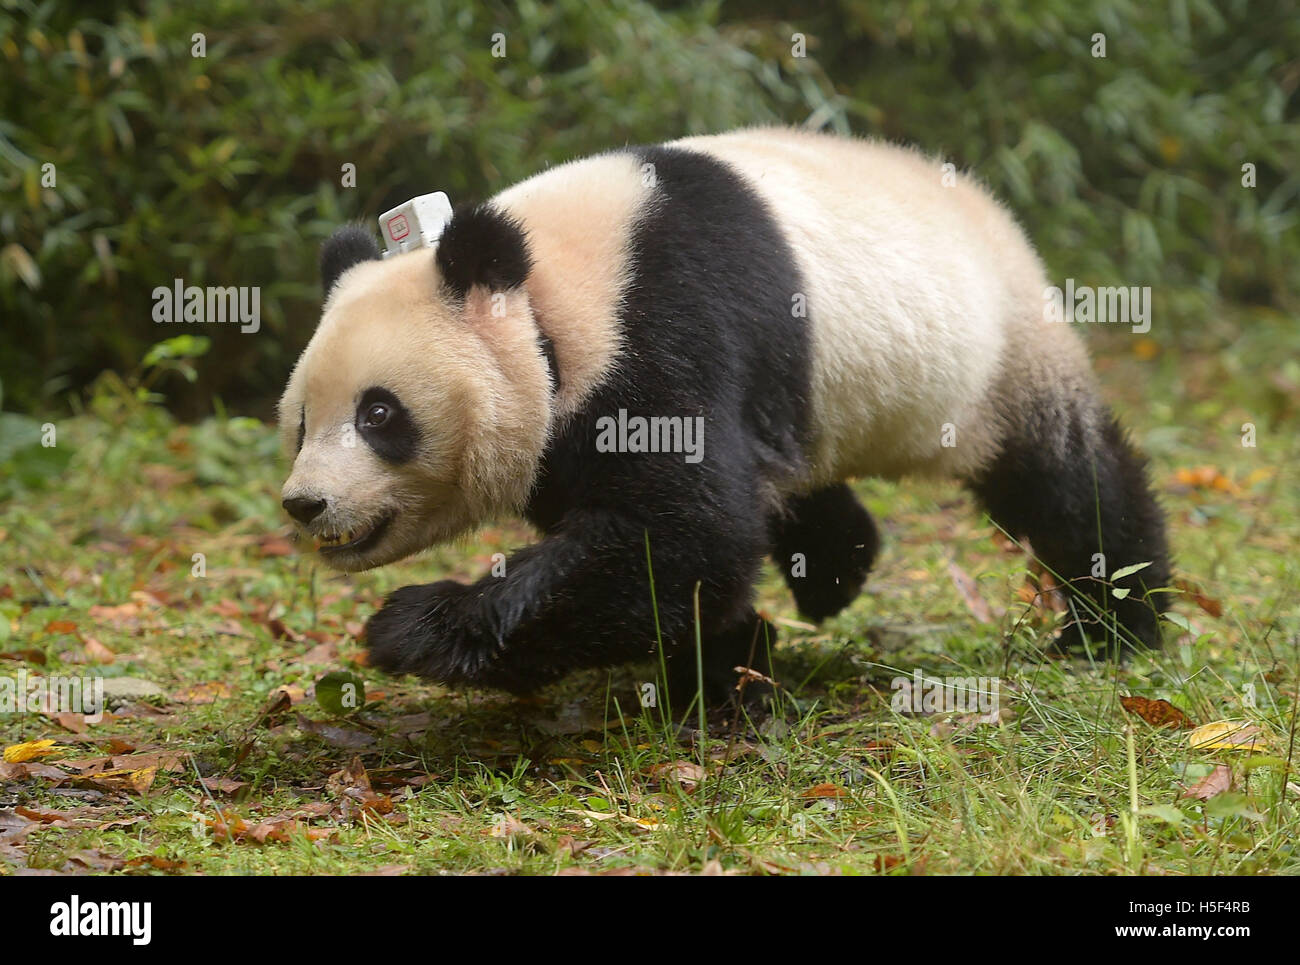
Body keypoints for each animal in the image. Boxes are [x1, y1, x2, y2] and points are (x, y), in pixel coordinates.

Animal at [278, 127, 1170, 705]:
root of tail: (990, 206)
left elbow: (681, 535)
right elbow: (679, 540)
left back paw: (1115, 623)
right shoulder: (575, 418)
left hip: (995, 350)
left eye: (379, 412)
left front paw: (415, 626)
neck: (550, 297)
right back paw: (835, 570)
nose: (306, 503)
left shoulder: (667, 325)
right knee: (785, 474)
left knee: (1062, 475)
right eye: (300, 422)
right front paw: (731, 662)